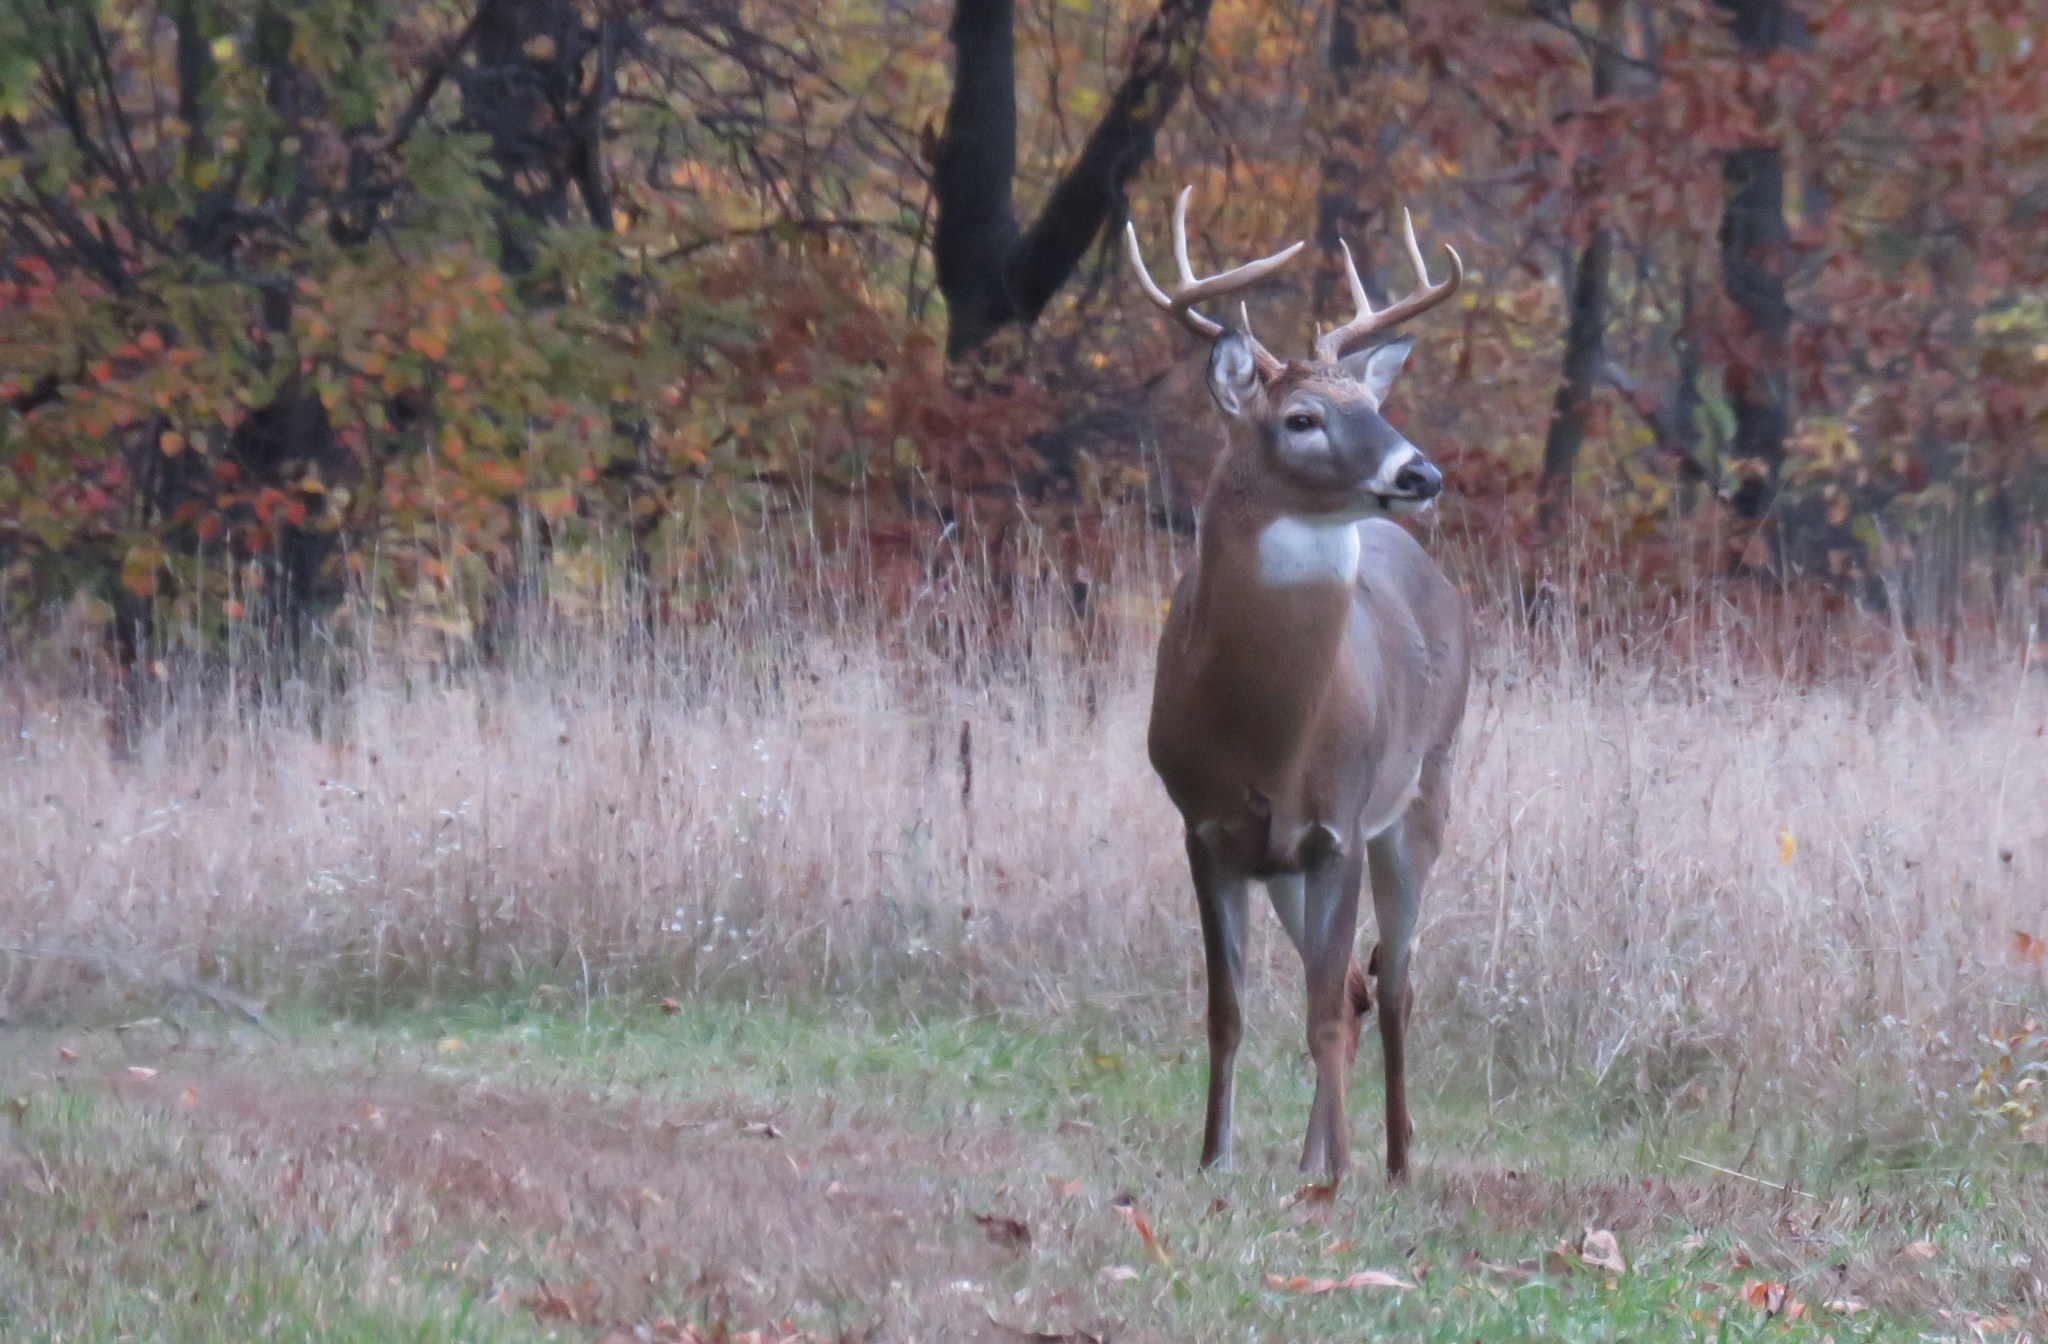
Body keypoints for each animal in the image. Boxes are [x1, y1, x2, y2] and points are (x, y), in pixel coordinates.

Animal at [1124, 188, 1473, 1182]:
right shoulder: (1208, 829)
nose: (1420, 471)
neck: (1264, 733)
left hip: (1427, 791)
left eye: (1373, 405)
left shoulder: (1340, 826)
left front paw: (1340, 1176)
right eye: (1303, 419)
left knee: (1393, 985)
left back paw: (1390, 1163)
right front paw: (1216, 1159)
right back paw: (1321, 1156)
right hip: (1283, 864)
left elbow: (1317, 1011)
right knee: (1355, 988)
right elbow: (1229, 1013)